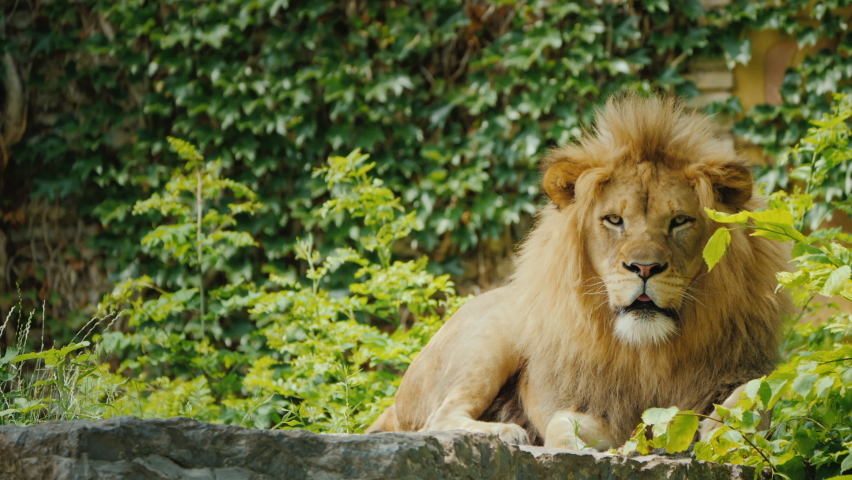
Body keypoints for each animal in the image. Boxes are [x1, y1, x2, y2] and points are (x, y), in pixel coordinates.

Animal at [366, 95, 789, 450]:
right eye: (614, 220)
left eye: (680, 221)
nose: (644, 267)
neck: (649, 353)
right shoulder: (593, 406)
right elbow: (561, 426)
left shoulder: (743, 369)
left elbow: (753, 399)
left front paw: (723, 434)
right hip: (492, 337)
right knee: (437, 419)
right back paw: (507, 431)